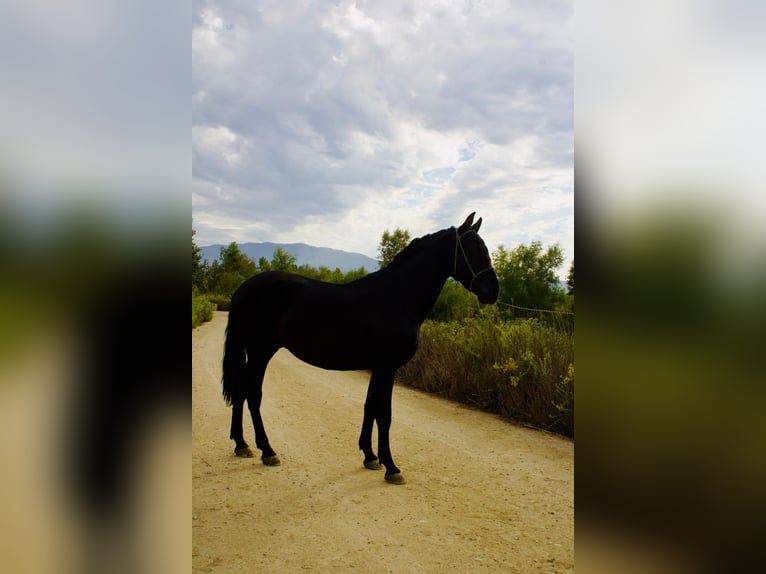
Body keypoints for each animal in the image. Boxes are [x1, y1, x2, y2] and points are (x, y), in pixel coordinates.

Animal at [222, 212, 499, 484]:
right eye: (473, 248)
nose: (493, 292)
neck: (397, 297)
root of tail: (243, 289)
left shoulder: (378, 367)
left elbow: (370, 406)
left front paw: (370, 456)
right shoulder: (387, 366)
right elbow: (384, 413)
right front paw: (391, 467)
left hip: (255, 354)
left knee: (240, 390)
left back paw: (242, 444)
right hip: (261, 352)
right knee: (252, 393)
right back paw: (267, 451)